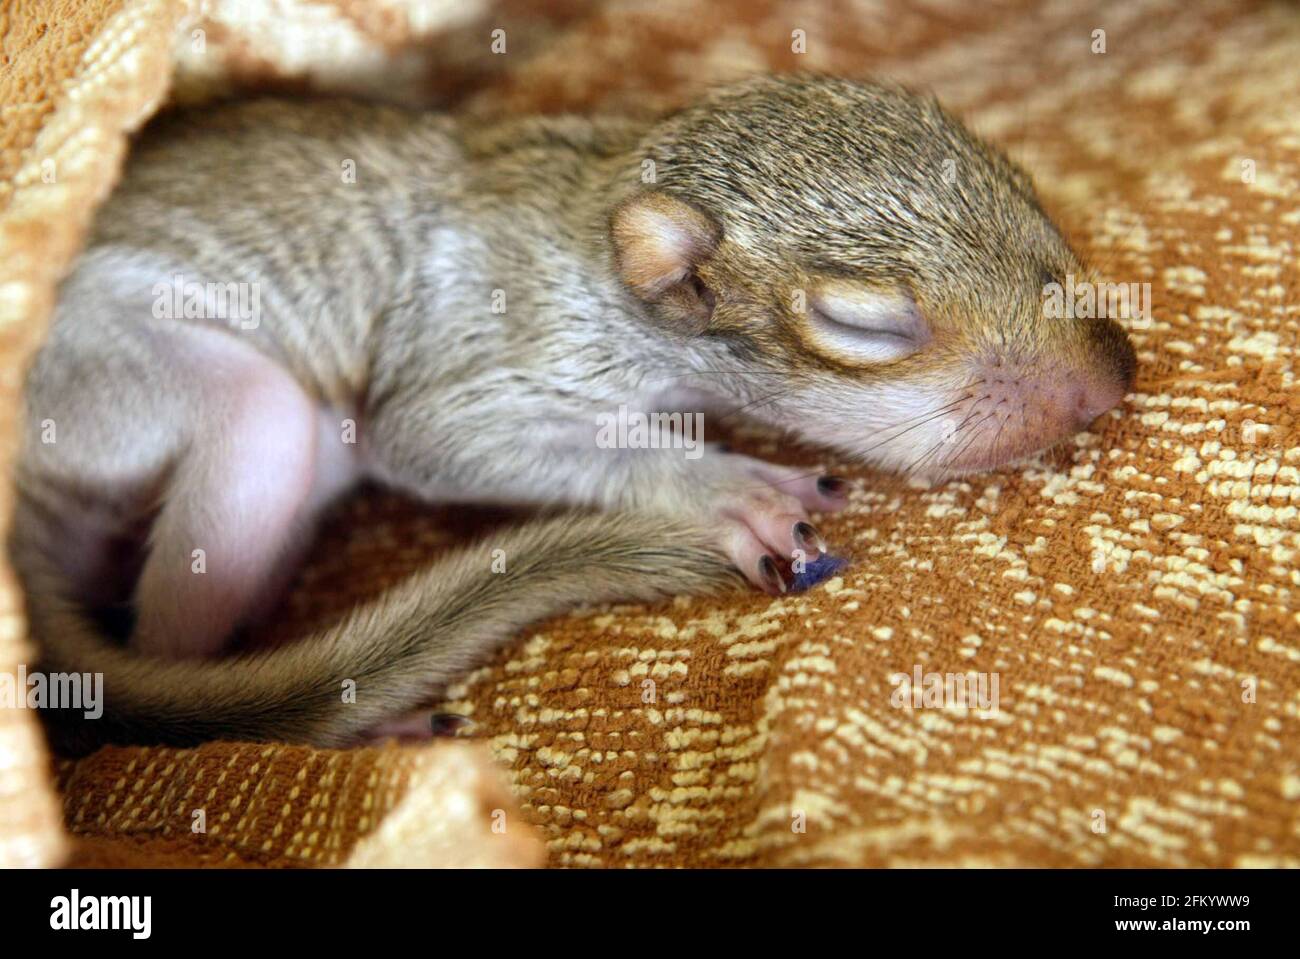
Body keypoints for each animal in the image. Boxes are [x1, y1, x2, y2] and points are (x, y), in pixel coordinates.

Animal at [11, 75, 1136, 749]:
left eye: (1026, 191)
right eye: (863, 323)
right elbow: (438, 438)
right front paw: (725, 485)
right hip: (124, 383)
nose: (1111, 376)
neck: (593, 216)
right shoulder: (499, 335)